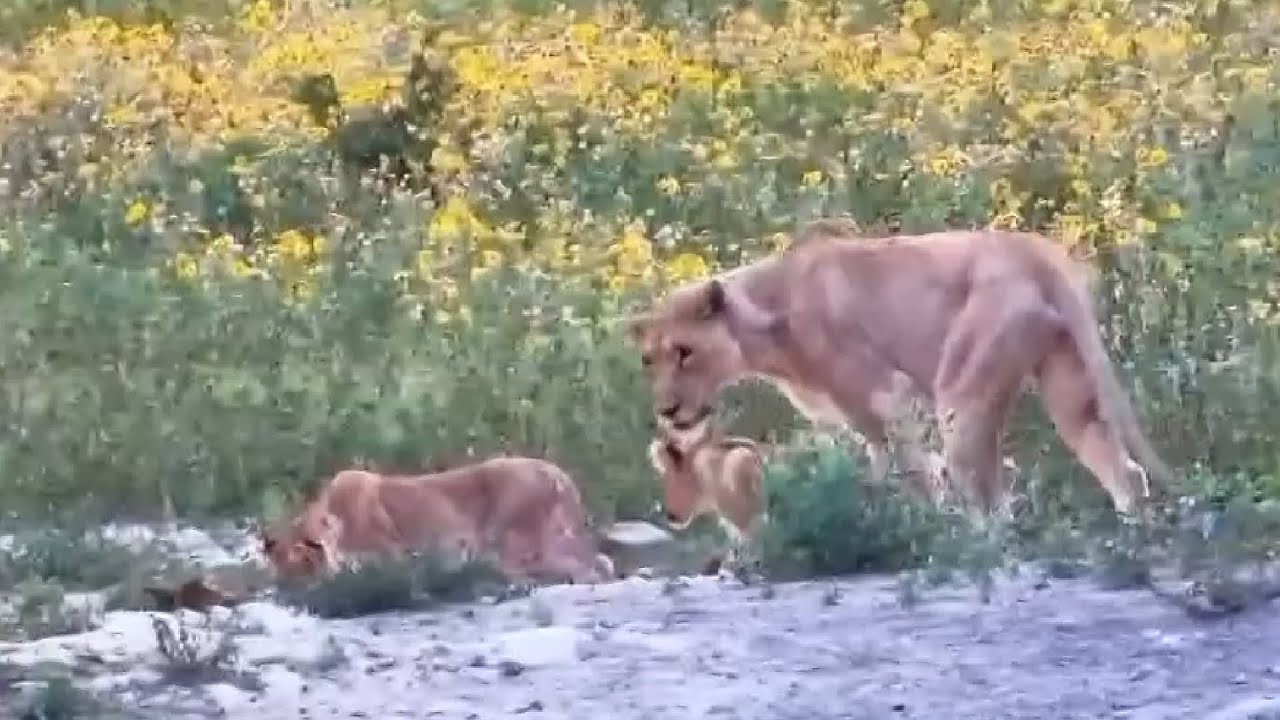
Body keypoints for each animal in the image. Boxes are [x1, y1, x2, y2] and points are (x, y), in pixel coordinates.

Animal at [258, 456, 616, 585]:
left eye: (305, 563)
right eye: (284, 571)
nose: (301, 593)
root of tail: (553, 470)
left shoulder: (394, 554)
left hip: (511, 535)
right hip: (552, 537)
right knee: (599, 562)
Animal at [628, 221, 1174, 518]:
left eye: (685, 351)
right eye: (650, 358)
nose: (667, 410)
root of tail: (1032, 249)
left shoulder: (882, 396)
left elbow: (912, 476)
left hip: (960, 395)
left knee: (987, 494)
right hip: (1069, 388)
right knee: (1124, 471)